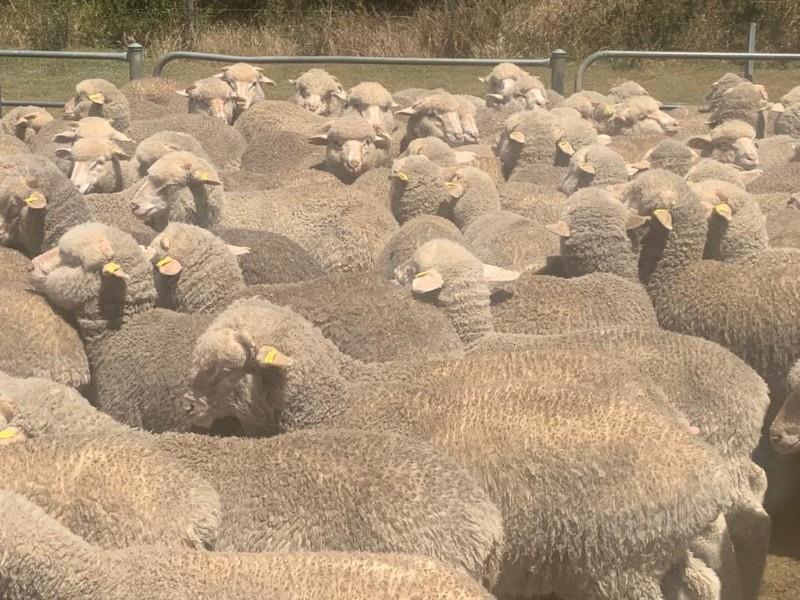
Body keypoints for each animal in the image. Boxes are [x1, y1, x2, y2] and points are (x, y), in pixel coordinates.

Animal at [184, 296, 730, 600]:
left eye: (224, 368)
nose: (186, 410)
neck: (343, 398)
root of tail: (705, 467)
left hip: (619, 566)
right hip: (658, 553)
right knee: (705, 584)